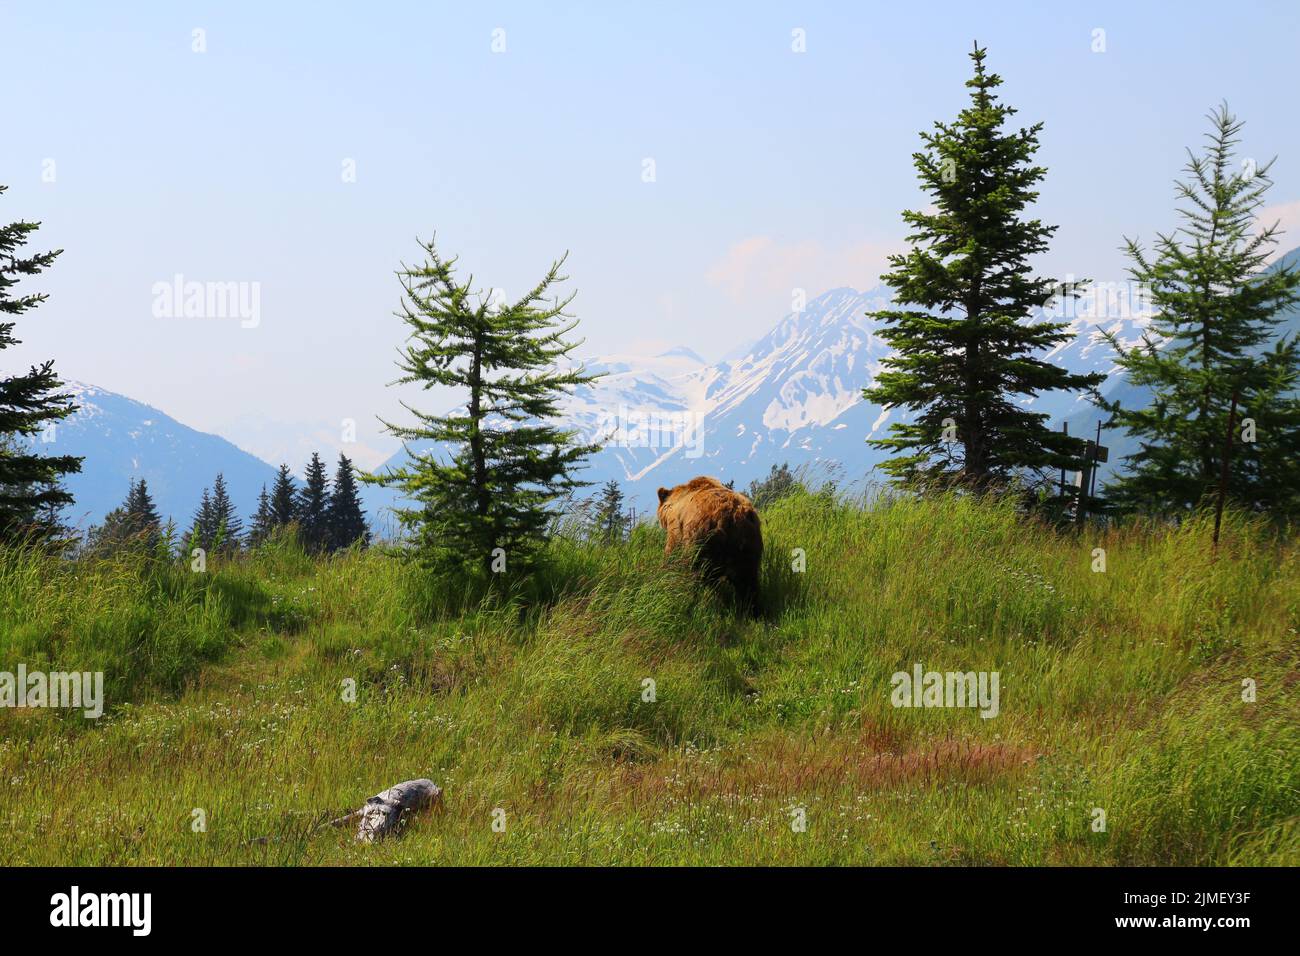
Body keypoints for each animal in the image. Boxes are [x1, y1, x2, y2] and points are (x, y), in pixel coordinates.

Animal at [657, 476, 762, 611]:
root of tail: (732, 516)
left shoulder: (676, 526)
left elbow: (672, 551)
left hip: (703, 539)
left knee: (700, 572)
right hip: (749, 541)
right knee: (748, 579)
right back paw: (752, 608)